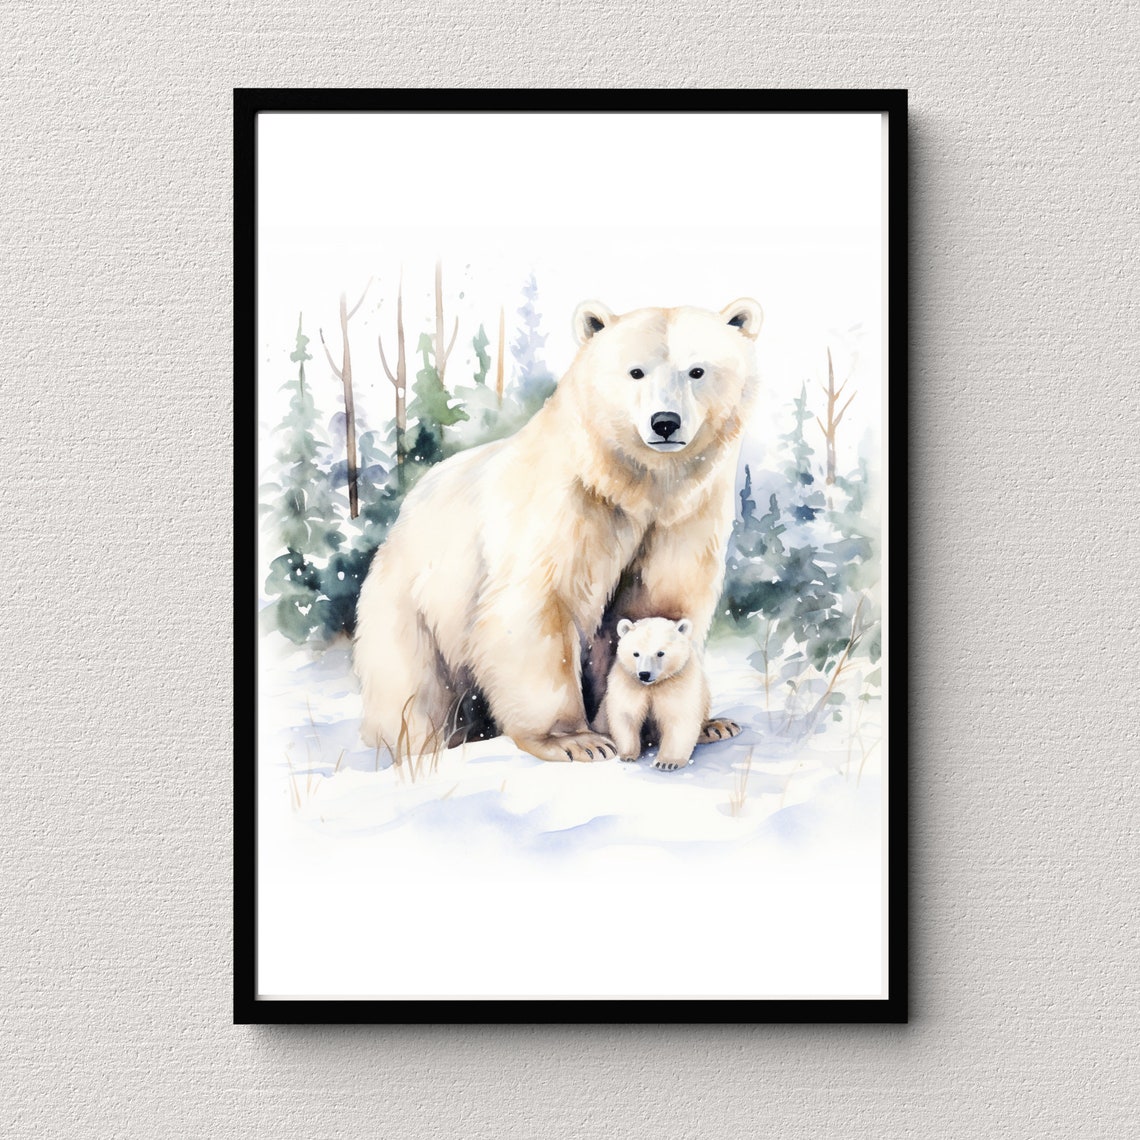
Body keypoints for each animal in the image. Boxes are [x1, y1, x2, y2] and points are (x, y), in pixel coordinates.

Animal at [595, 616, 737, 771]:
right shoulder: (629, 681)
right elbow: (626, 714)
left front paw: (667, 763)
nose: (644, 674)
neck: (654, 684)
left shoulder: (677, 681)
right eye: (636, 653)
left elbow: (678, 716)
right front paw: (628, 755)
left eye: (660, 653)